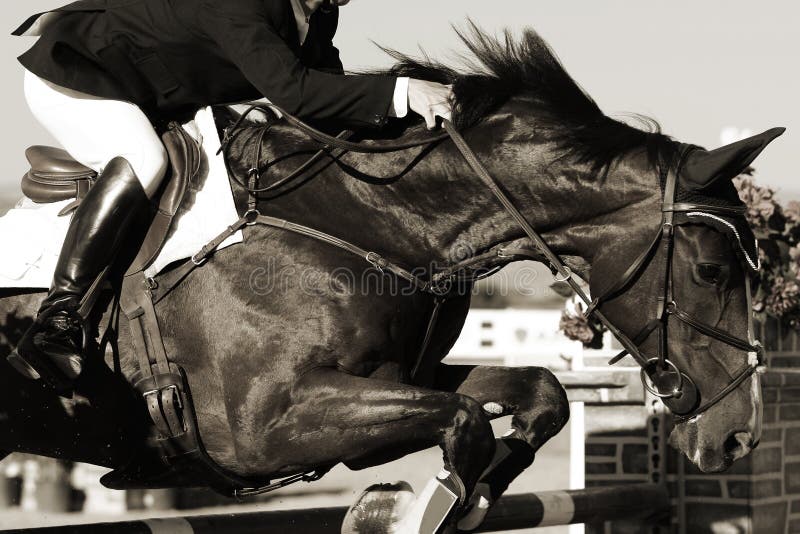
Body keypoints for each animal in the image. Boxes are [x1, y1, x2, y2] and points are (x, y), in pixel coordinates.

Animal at [0, 25, 782, 532]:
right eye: (712, 271)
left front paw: (476, 498)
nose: (738, 439)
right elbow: (465, 421)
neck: (367, 221)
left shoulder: (400, 375)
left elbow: (539, 392)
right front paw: (410, 510)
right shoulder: (265, 427)